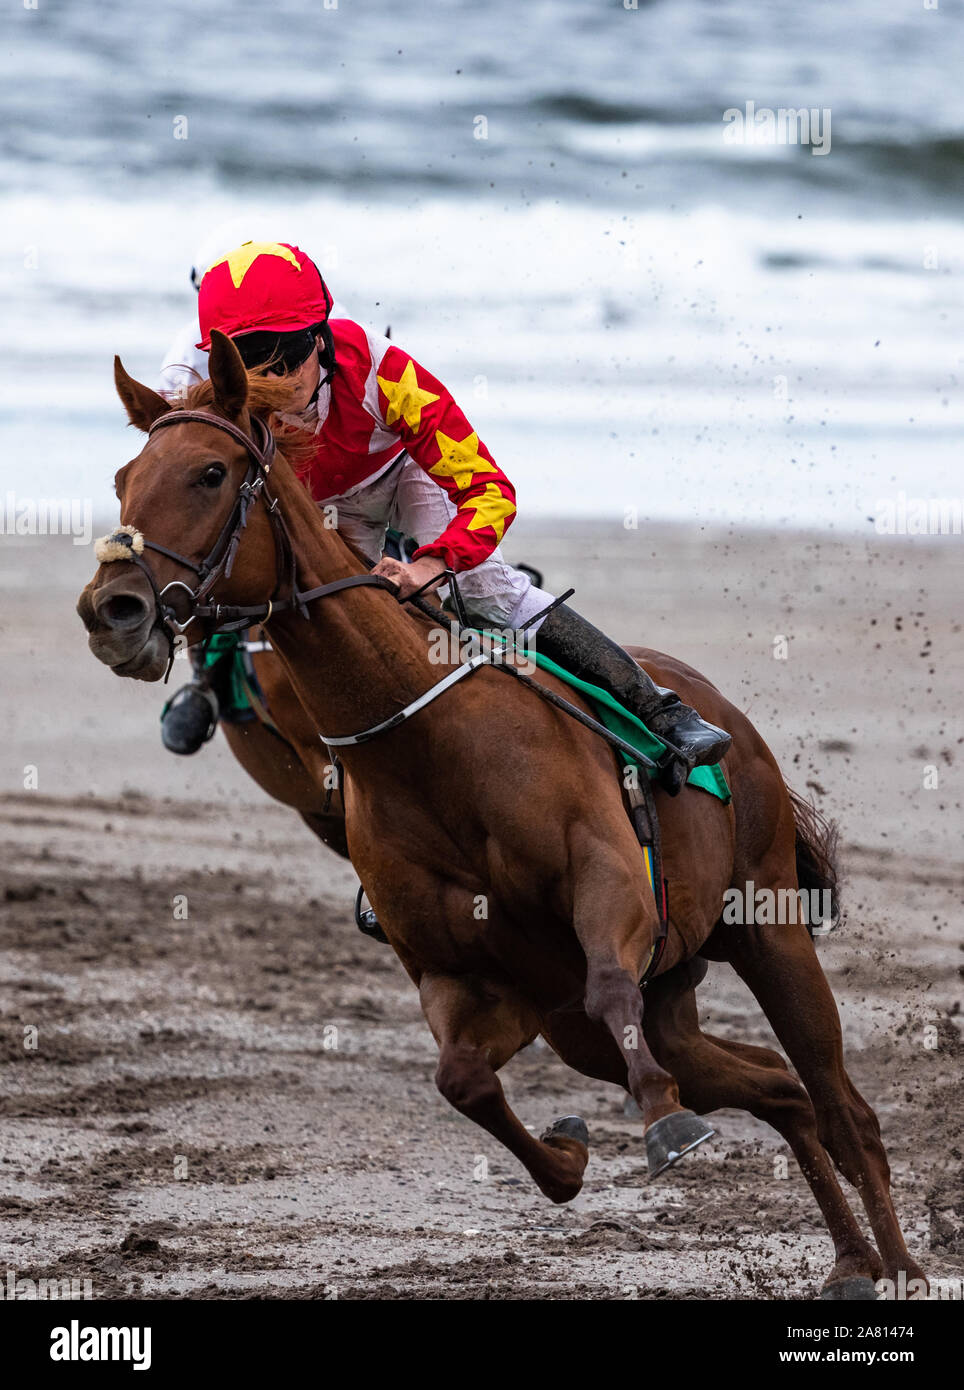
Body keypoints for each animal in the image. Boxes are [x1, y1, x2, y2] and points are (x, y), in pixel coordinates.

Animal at [76, 330, 926, 1298]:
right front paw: (571, 1147)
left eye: (212, 473)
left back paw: (897, 1263)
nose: (112, 609)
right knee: (777, 1087)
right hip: (646, 1006)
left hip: (766, 926)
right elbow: (464, 1083)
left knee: (841, 1104)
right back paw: (852, 1259)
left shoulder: (608, 891)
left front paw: (663, 1125)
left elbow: (604, 981)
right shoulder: (476, 981)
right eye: (123, 477)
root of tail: (723, 711)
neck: (427, 745)